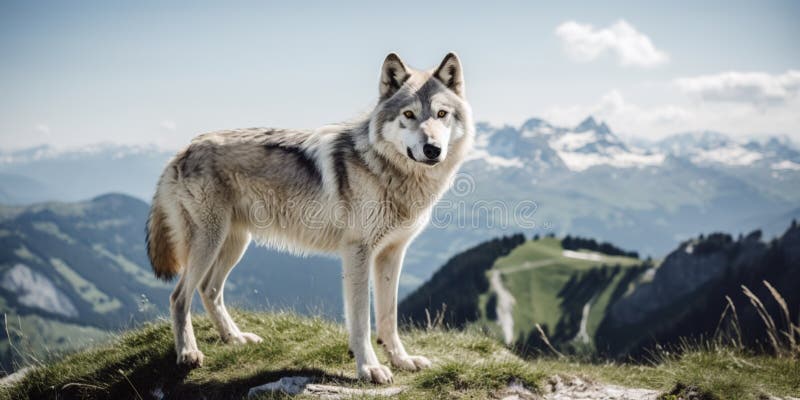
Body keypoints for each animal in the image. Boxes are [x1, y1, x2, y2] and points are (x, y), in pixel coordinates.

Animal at [146, 53, 473, 384]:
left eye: (441, 114)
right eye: (408, 114)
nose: (432, 149)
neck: (387, 172)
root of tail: (182, 151)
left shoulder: (392, 254)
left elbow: (388, 318)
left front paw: (402, 360)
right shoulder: (357, 252)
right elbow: (361, 319)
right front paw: (369, 368)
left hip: (234, 244)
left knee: (209, 290)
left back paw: (235, 338)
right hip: (209, 242)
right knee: (179, 297)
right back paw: (188, 352)